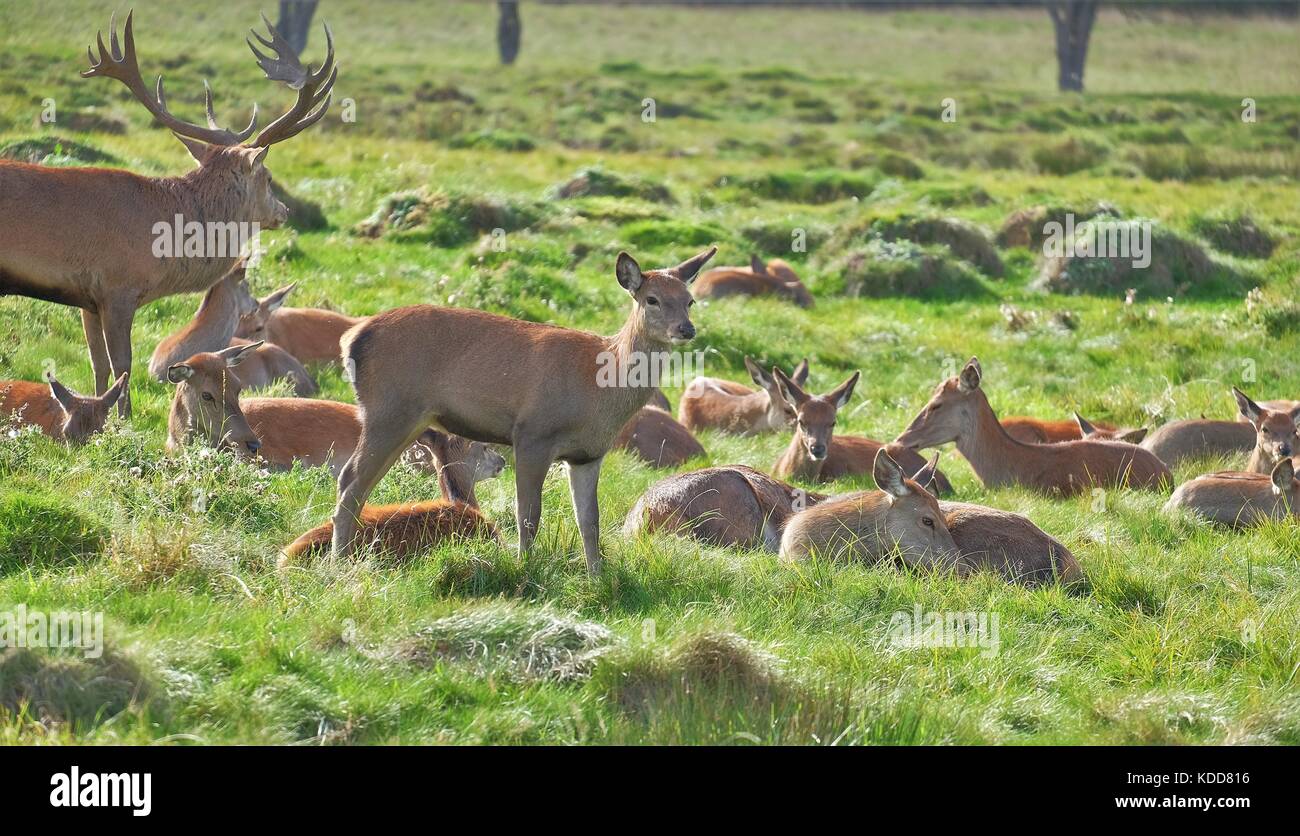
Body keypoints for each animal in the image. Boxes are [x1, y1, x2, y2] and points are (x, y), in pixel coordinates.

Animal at [330, 247, 717, 574]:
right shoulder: (533, 434)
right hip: (389, 409)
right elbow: (528, 513)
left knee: (357, 484)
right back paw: (340, 565)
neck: (598, 390)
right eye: (652, 299)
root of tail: (351, 338)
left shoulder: (588, 454)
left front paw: (598, 577)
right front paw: (524, 567)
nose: (686, 329)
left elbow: (589, 520)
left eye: (689, 300)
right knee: (351, 481)